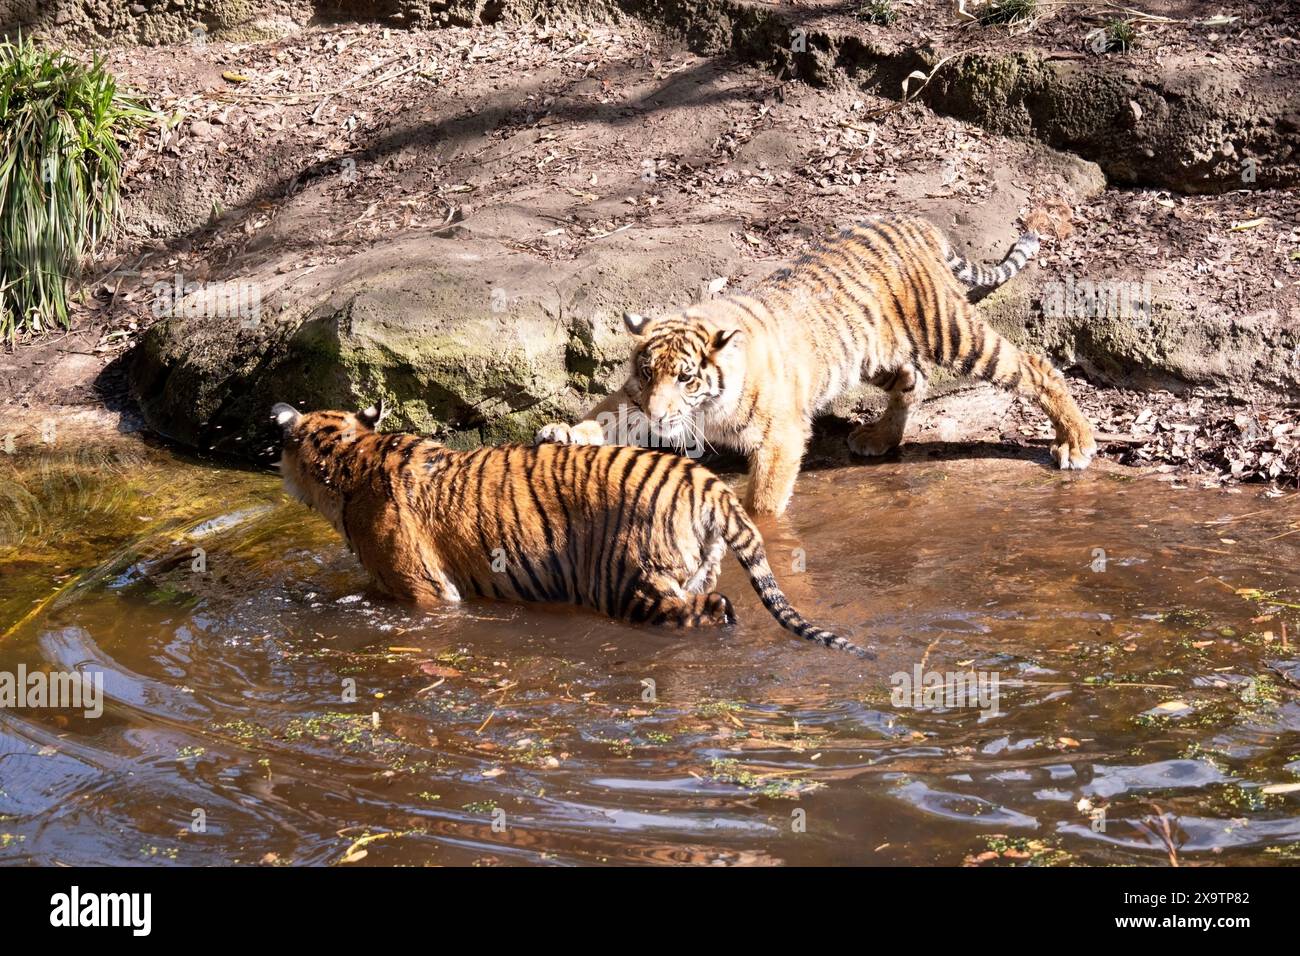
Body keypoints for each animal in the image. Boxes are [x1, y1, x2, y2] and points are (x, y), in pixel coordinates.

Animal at [535, 215, 1096, 516]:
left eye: (686, 378)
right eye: (649, 374)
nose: (657, 414)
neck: (706, 406)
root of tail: (916, 222)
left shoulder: (780, 435)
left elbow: (764, 500)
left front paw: (763, 530)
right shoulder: (635, 399)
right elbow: (606, 414)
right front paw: (564, 432)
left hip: (952, 332)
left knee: (1033, 366)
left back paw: (1077, 442)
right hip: (871, 356)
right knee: (913, 381)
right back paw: (878, 438)